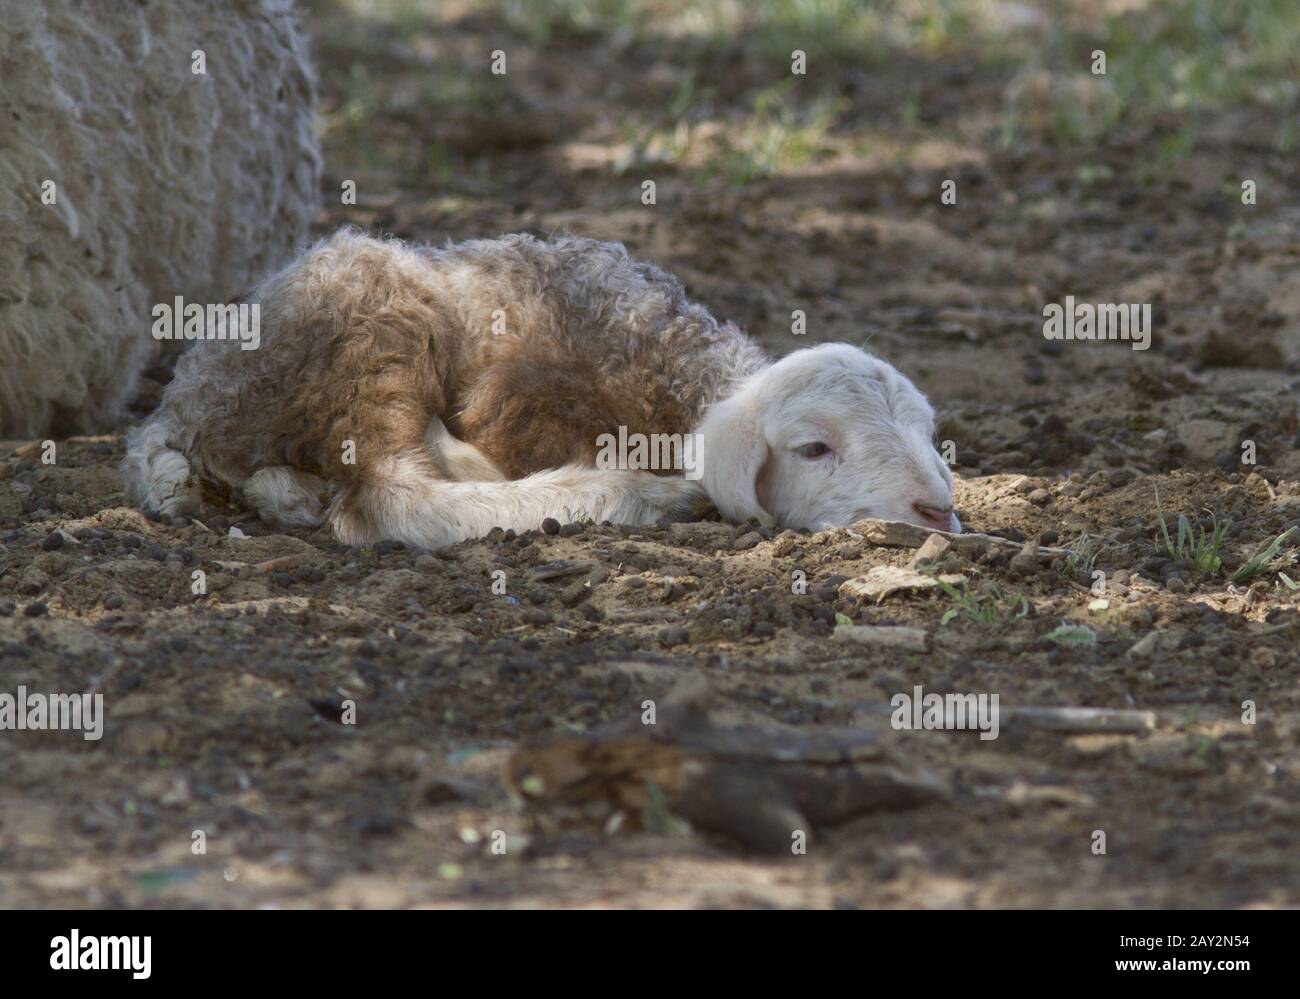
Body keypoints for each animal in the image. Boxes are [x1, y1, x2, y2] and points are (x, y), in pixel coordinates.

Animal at [126, 228, 961, 546]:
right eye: (814, 447)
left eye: (929, 435)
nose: (936, 512)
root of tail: (183, 401)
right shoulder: (519, 387)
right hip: (372, 305)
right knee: (395, 494)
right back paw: (633, 493)